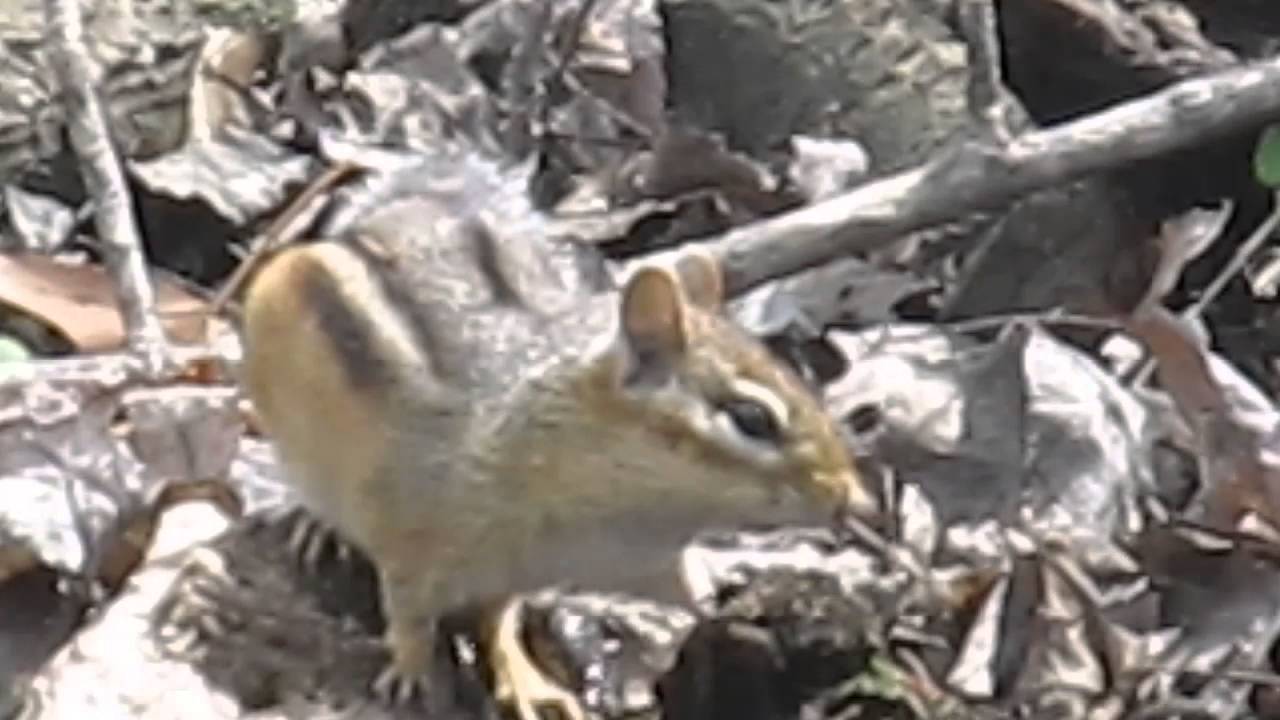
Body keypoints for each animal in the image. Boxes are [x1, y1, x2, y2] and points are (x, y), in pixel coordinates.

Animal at [238, 189, 875, 716]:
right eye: (752, 418)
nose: (854, 501)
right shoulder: (414, 537)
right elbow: (410, 615)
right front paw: (411, 674)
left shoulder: (613, 564)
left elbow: (500, 620)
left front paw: (523, 677)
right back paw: (315, 522)